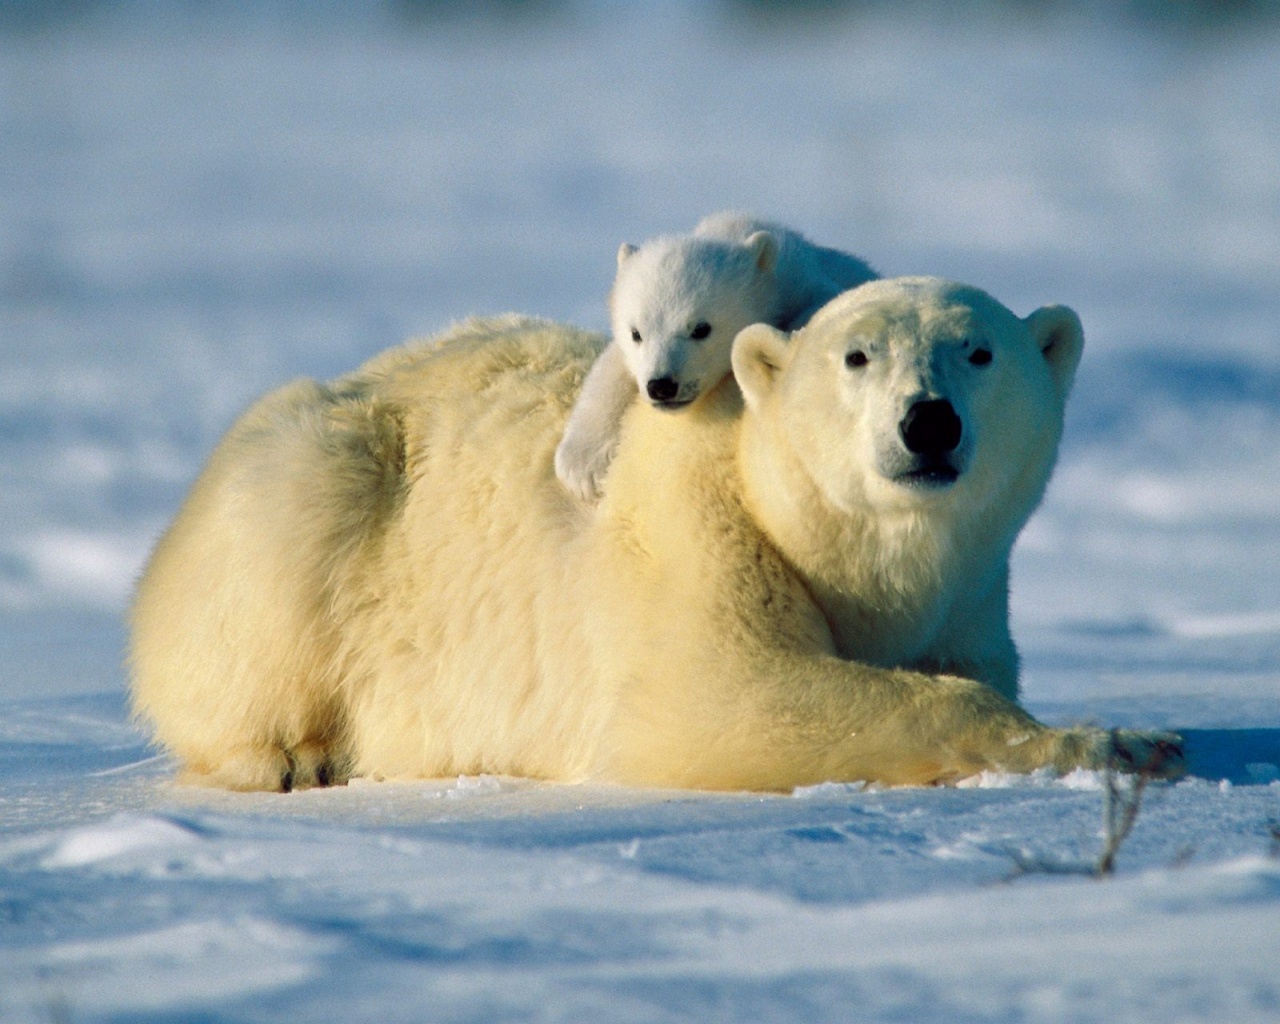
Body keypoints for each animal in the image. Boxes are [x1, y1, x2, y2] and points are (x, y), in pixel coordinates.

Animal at [128, 278, 1182, 793]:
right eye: (857, 355)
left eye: (980, 350)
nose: (928, 422)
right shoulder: (694, 534)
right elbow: (726, 694)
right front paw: (1126, 740)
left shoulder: (968, 599)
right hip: (315, 480)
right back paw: (291, 756)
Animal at [553, 212, 877, 501]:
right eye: (636, 333)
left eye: (701, 328)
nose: (662, 386)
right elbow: (610, 367)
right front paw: (583, 467)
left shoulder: (805, 282)